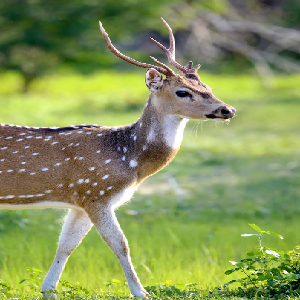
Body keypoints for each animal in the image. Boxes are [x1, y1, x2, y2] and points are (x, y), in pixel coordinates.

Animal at [0, 18, 234, 298]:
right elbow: (120, 244)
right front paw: (141, 292)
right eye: (182, 92)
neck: (130, 159)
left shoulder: (80, 200)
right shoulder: (97, 193)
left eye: (207, 87)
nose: (227, 109)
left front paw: (48, 290)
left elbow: (65, 245)